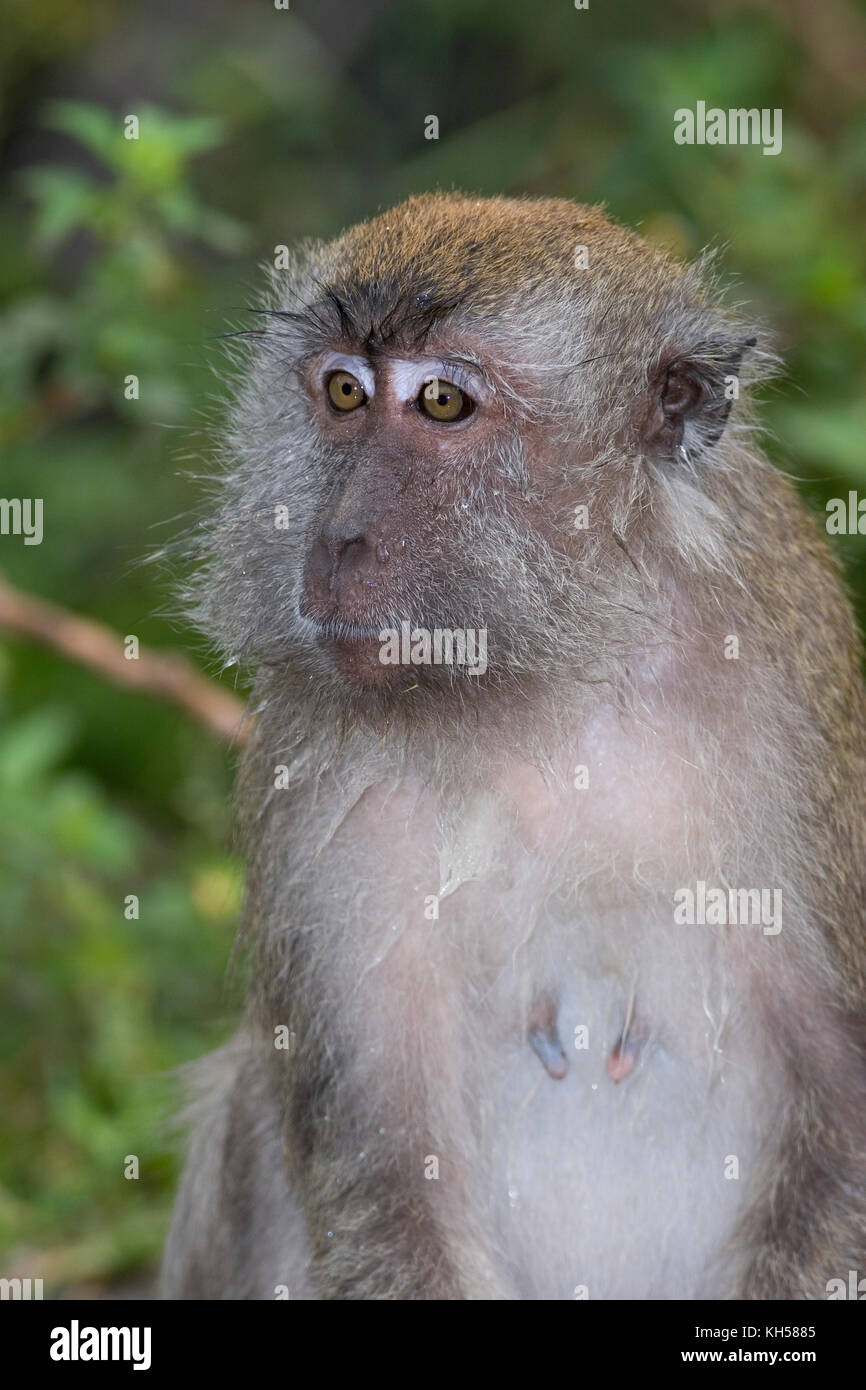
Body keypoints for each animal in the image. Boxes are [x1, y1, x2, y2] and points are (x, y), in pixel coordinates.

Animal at [161, 192, 866, 1300]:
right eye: (342, 391)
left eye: (443, 403)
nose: (338, 540)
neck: (556, 674)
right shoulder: (310, 775)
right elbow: (381, 1170)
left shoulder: (791, 705)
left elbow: (839, 1116)